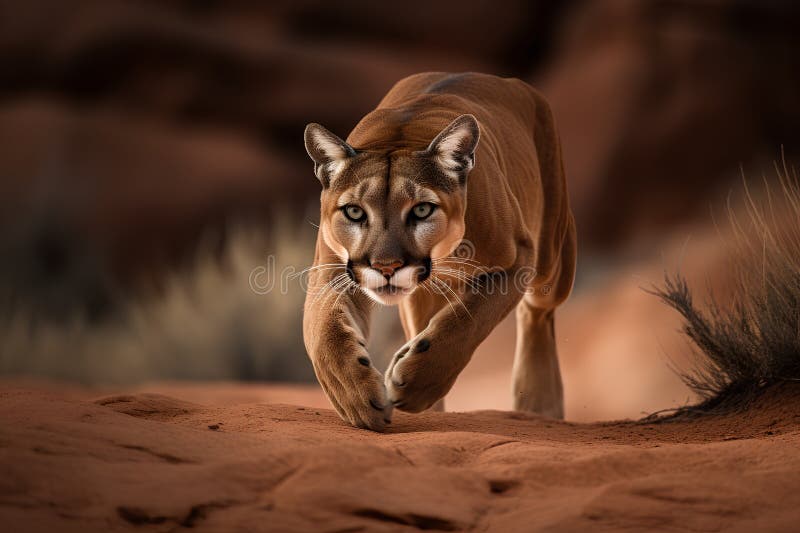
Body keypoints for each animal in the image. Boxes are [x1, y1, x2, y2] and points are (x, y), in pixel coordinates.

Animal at [302, 72, 576, 431]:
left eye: (422, 210)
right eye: (355, 212)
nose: (386, 267)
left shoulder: (517, 258)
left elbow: (469, 318)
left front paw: (416, 382)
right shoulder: (332, 271)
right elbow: (324, 333)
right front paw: (357, 398)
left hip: (551, 261)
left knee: (536, 311)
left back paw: (539, 403)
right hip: (417, 299)